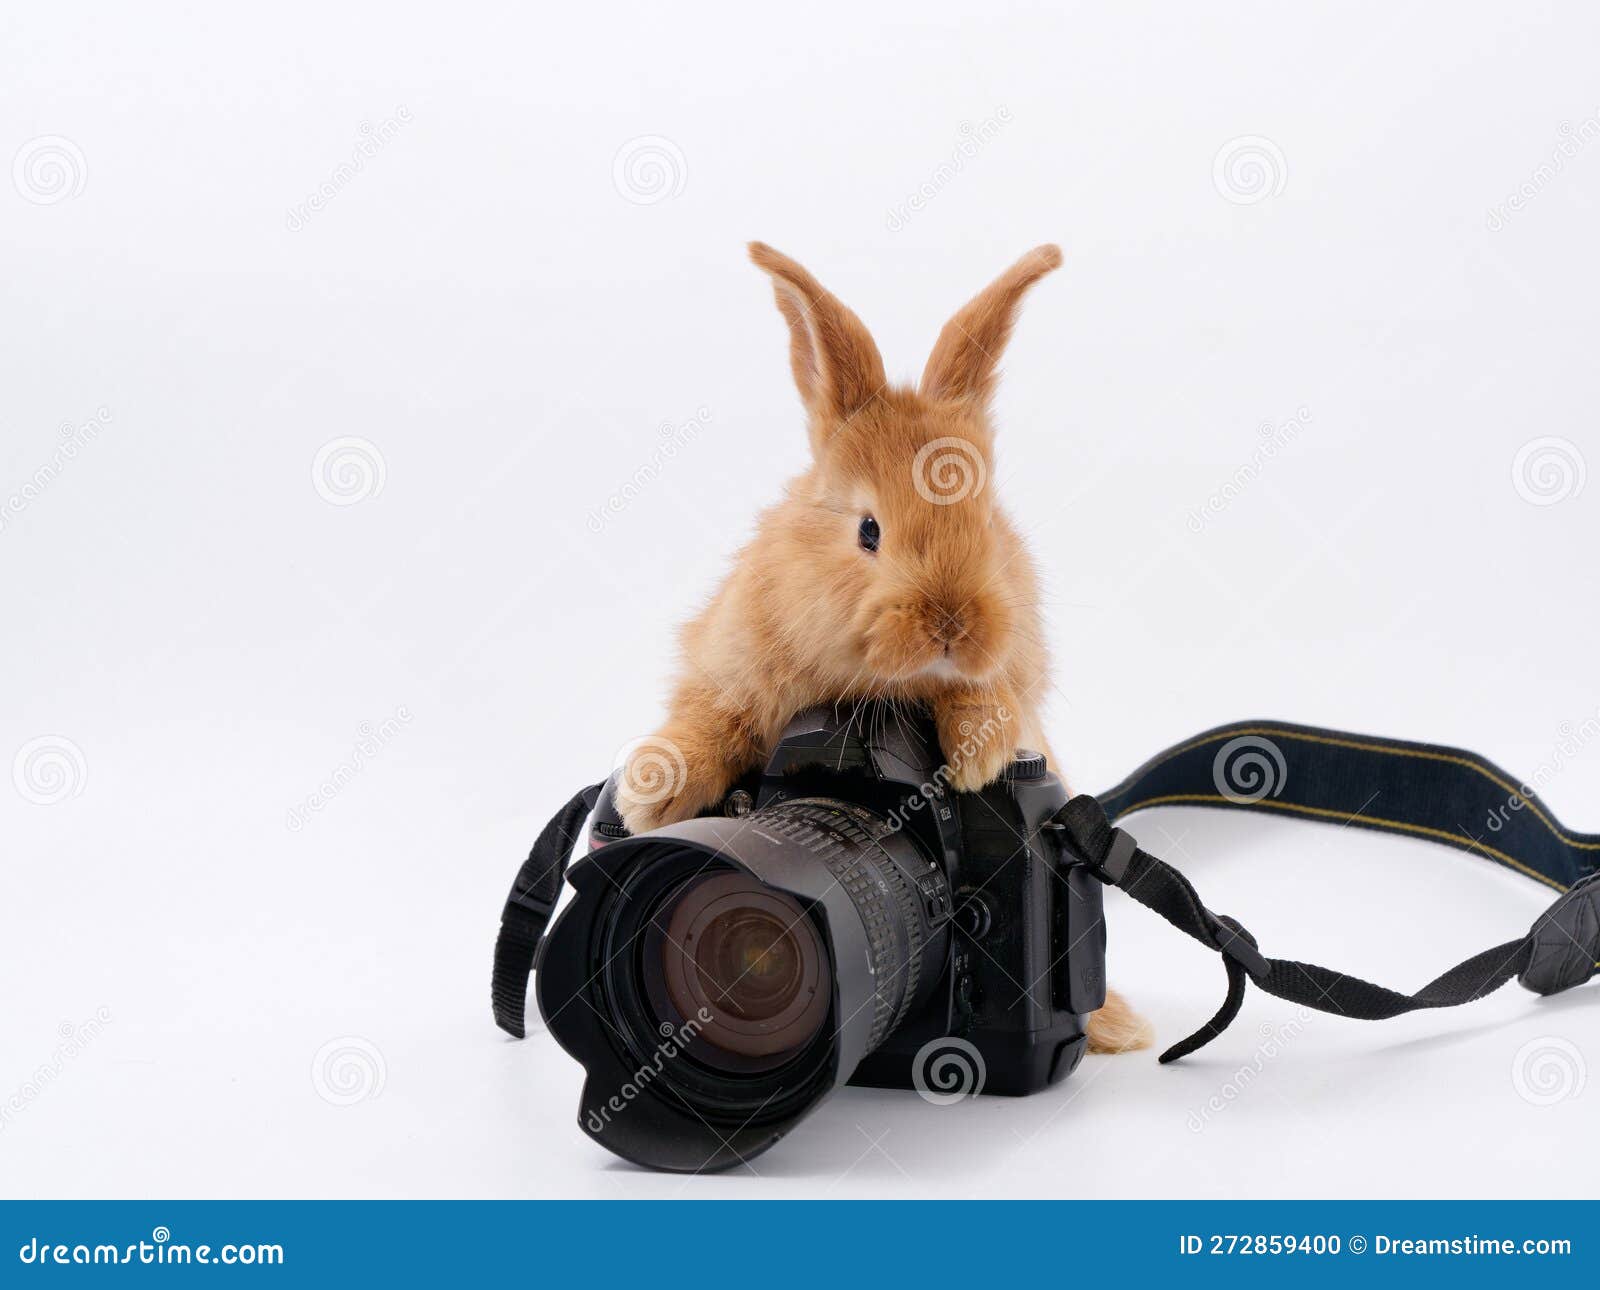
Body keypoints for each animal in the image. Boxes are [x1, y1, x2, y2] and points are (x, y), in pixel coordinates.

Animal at [615, 241, 1150, 1055]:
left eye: (986, 525)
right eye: (869, 531)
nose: (954, 622)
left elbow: (992, 695)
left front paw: (977, 755)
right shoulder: (733, 671)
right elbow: (708, 722)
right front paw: (648, 793)